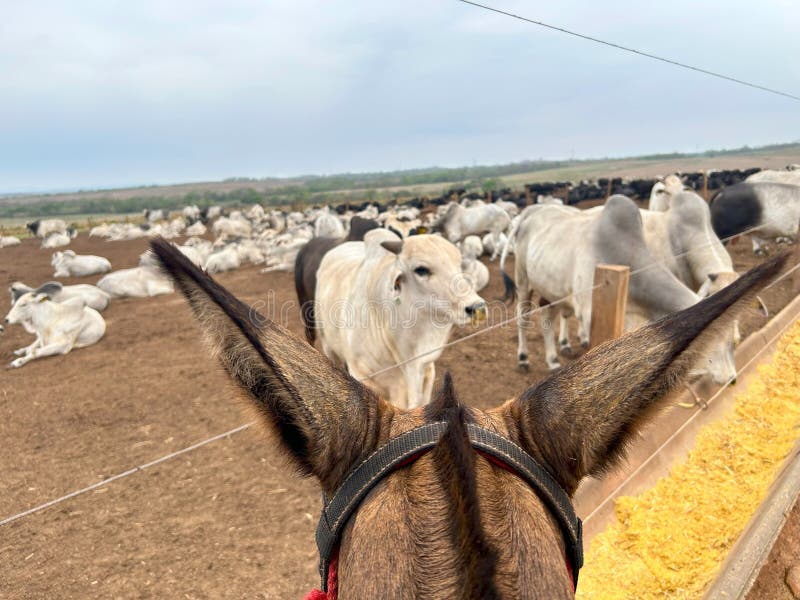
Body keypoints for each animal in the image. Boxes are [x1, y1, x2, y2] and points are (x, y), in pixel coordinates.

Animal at [316, 231, 486, 409]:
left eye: (459, 264)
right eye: (421, 269)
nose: (477, 307)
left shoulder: (427, 372)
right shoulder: (363, 375)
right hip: (327, 344)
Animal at [502, 196, 738, 384]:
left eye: (733, 341)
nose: (731, 379)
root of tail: (531, 212)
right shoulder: (589, 315)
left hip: (550, 290)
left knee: (547, 320)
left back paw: (552, 360)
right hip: (523, 281)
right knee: (522, 317)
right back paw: (523, 358)